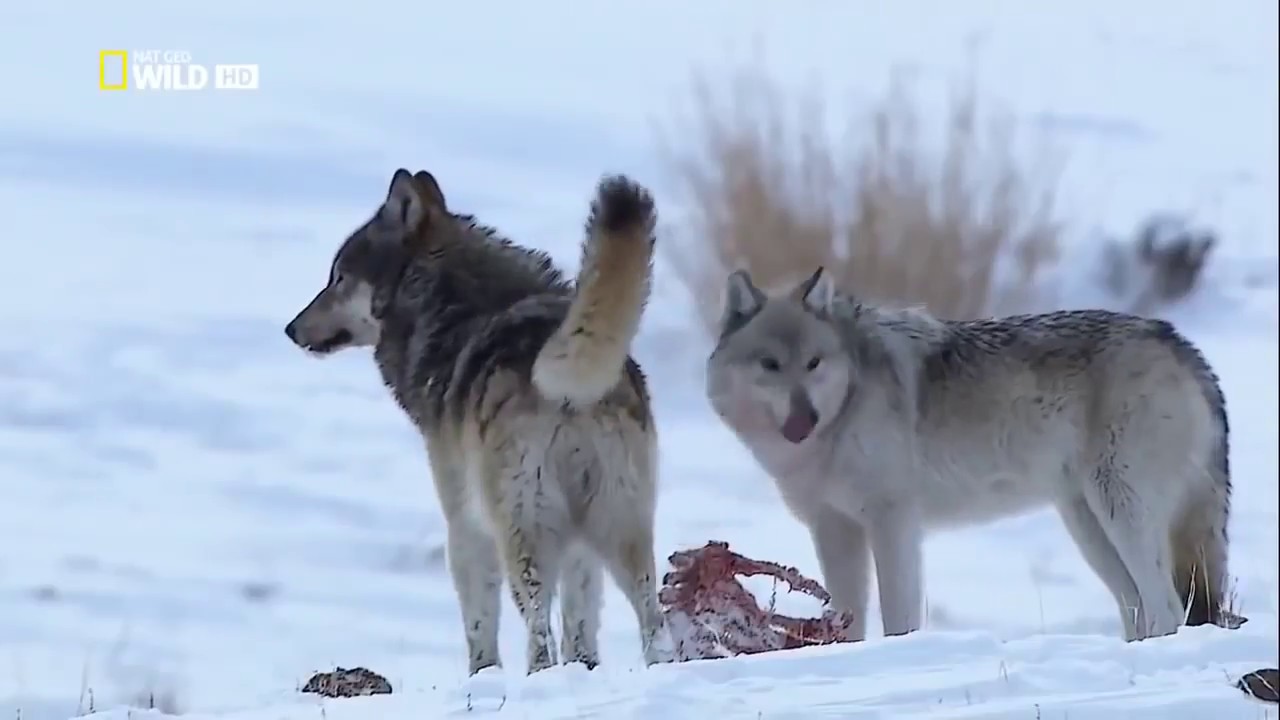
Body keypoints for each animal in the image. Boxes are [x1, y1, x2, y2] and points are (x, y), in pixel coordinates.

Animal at [284, 168, 675, 674]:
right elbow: (582, 630)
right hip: (621, 528)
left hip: (525, 534)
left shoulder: (465, 525)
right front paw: (584, 672)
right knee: (653, 626)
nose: (291, 328)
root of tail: (569, 392)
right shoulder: (578, 545)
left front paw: (483, 680)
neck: (448, 309)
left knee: (539, 635)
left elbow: (479, 628)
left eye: (339, 278)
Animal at [704, 266, 1243, 642]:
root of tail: (1177, 340)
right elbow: (847, 621)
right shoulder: (833, 527)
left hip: (1121, 514)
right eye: (770, 365)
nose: (806, 416)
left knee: (1167, 609)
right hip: (1090, 527)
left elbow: (899, 616)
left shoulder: (893, 521)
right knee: (1140, 610)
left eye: (814, 363)